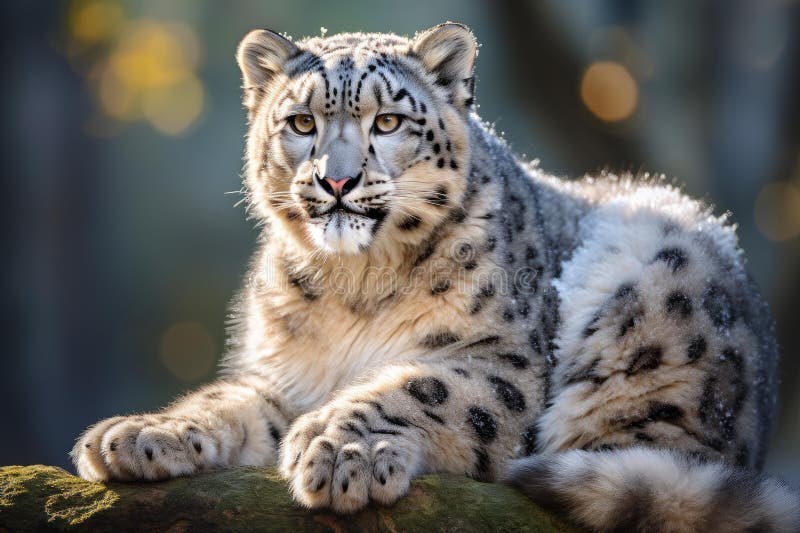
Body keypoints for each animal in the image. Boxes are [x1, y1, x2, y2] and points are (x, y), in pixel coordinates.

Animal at [71, 22, 800, 531]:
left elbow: (423, 385)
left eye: (389, 120)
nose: (337, 182)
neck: (353, 285)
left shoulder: (502, 359)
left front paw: (338, 449)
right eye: (301, 121)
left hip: (657, 298)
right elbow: (228, 403)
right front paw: (137, 434)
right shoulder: (287, 375)